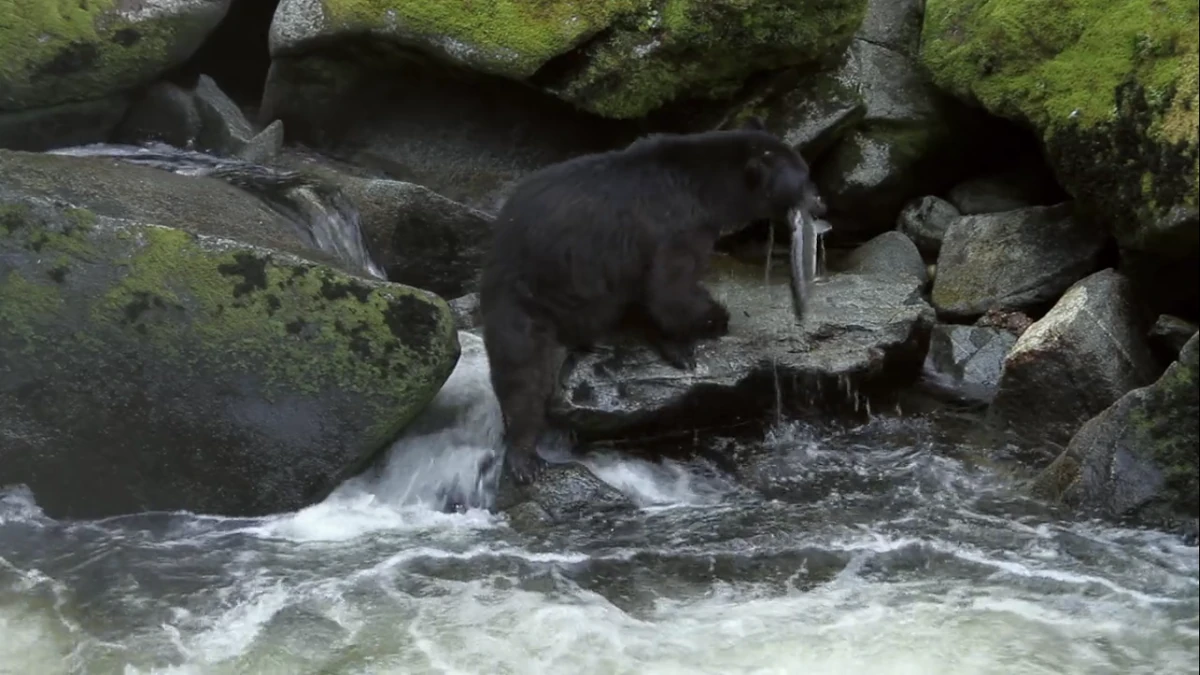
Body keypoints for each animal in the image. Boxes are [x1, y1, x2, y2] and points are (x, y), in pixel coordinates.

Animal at [479, 118, 826, 486]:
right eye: (804, 179)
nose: (823, 203)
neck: (707, 188)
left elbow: (648, 298)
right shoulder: (675, 226)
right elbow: (669, 288)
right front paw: (709, 324)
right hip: (524, 296)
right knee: (522, 373)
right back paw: (523, 455)